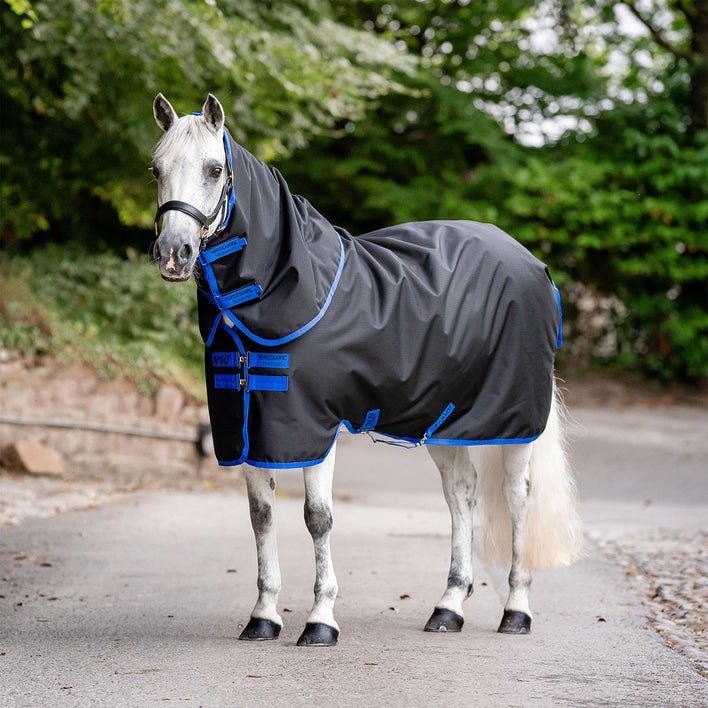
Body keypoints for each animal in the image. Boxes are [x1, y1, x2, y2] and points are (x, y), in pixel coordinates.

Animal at [150, 93, 582, 647]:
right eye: (156, 169)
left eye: (214, 168)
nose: (173, 254)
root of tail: (534, 265)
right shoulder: (247, 427)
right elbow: (261, 517)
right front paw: (263, 617)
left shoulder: (314, 426)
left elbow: (317, 518)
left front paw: (320, 621)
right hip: (443, 420)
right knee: (460, 496)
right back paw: (448, 607)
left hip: (516, 420)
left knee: (518, 498)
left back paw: (516, 610)